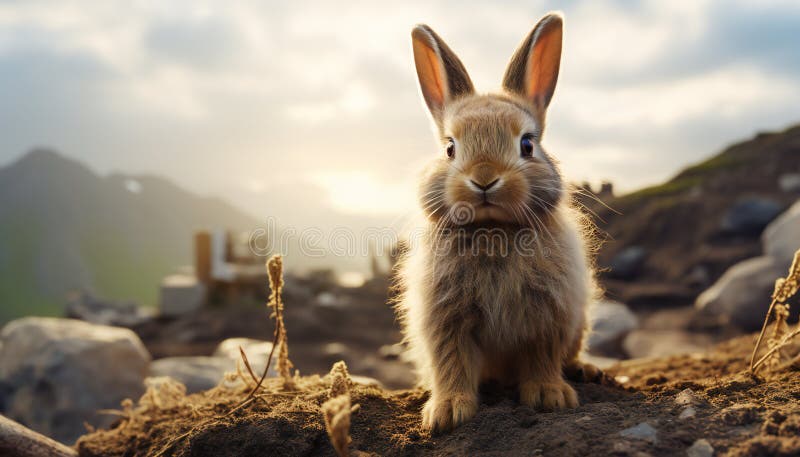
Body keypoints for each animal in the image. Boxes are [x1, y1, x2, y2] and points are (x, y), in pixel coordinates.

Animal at [395, 12, 602, 434]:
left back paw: (584, 371)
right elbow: (451, 362)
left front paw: (550, 396)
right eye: (450, 148)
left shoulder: (547, 313)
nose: (485, 178)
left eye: (527, 144)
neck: (493, 229)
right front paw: (446, 412)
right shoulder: (446, 317)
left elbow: (542, 355)